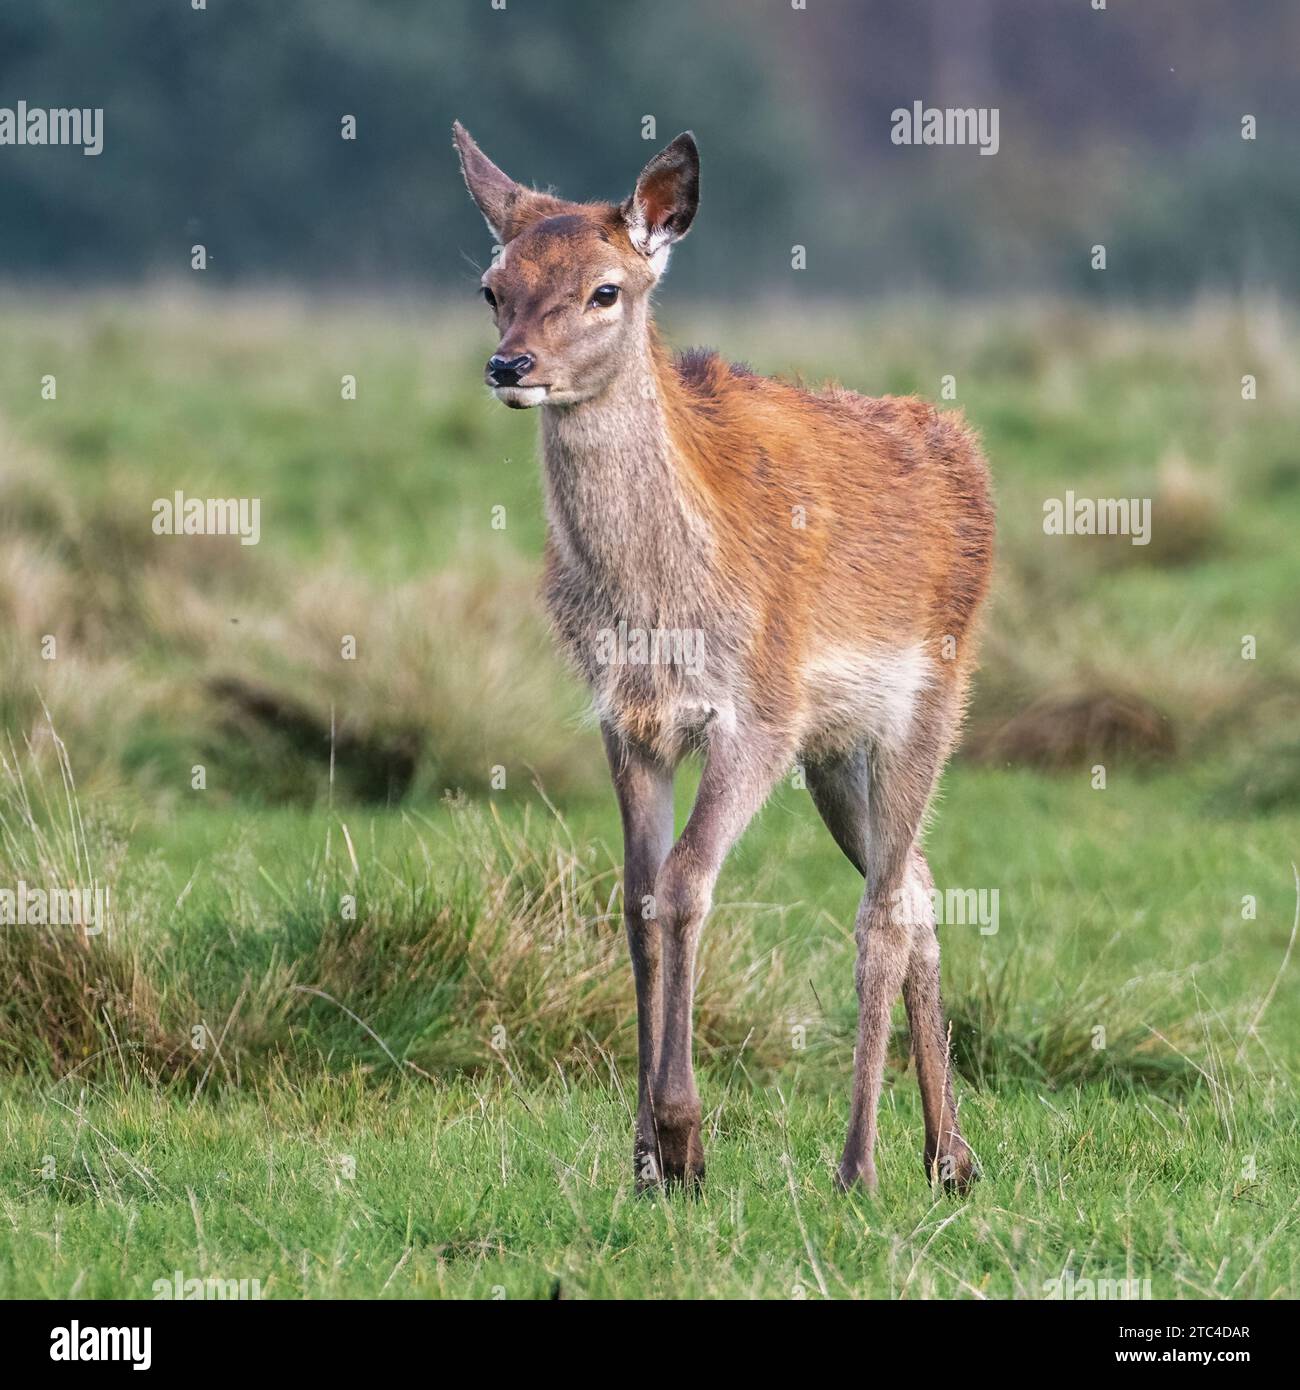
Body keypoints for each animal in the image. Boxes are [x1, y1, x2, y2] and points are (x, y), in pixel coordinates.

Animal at [453, 122, 995, 1195]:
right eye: (492, 284)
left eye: (607, 289)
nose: (509, 365)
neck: (664, 605)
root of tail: (963, 449)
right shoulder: (626, 718)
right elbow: (636, 898)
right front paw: (645, 1160)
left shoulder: (761, 715)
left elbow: (687, 883)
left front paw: (682, 1138)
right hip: (838, 753)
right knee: (916, 887)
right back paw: (949, 1153)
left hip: (929, 701)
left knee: (882, 909)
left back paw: (860, 1163)